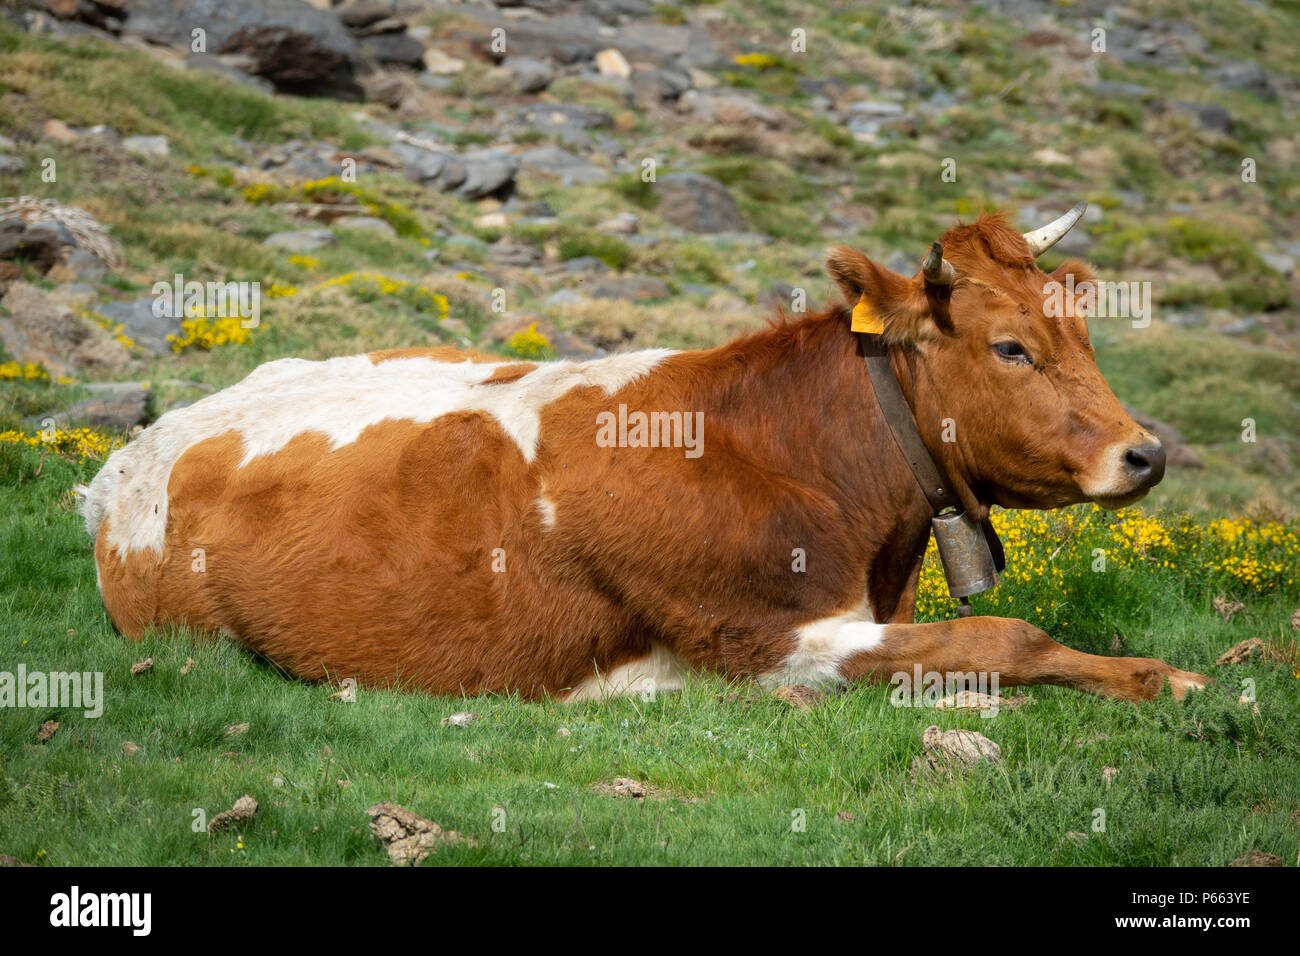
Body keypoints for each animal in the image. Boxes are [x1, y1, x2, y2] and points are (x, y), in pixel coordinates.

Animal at [79, 205, 1209, 704]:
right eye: (1011, 347)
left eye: (1081, 326)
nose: (1143, 454)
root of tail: (132, 457)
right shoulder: (759, 639)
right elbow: (1005, 635)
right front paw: (1167, 679)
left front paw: (1168, 672)